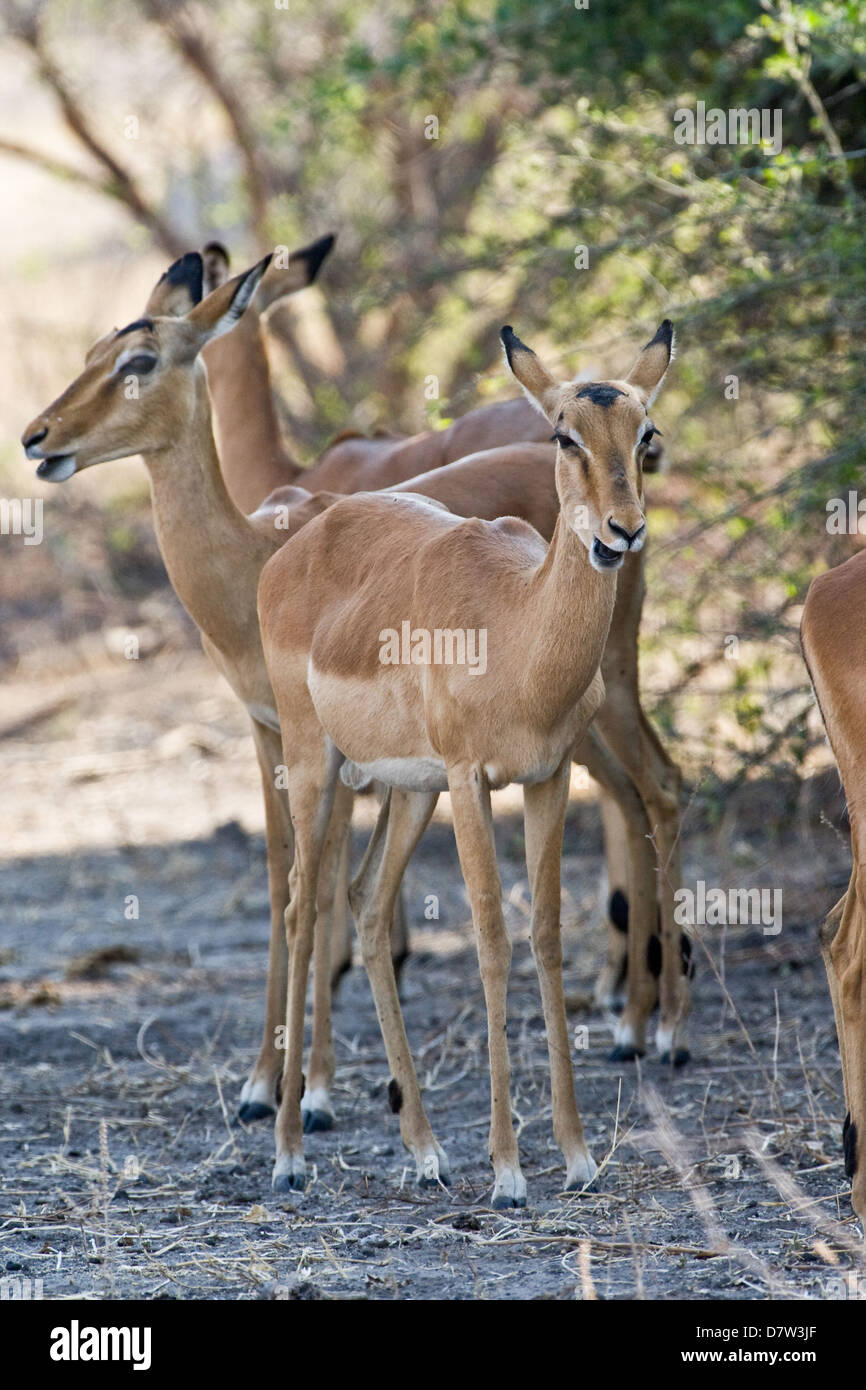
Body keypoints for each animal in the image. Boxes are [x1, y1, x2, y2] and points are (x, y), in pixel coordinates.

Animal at [256, 319, 675, 1203]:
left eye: (644, 432)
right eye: (563, 434)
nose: (621, 531)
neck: (515, 631)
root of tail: (296, 545)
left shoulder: (546, 778)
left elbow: (545, 933)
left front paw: (577, 1154)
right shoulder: (472, 782)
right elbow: (490, 937)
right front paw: (510, 1170)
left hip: (409, 792)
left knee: (367, 903)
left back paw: (423, 1148)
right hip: (316, 763)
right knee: (304, 904)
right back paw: (288, 1149)